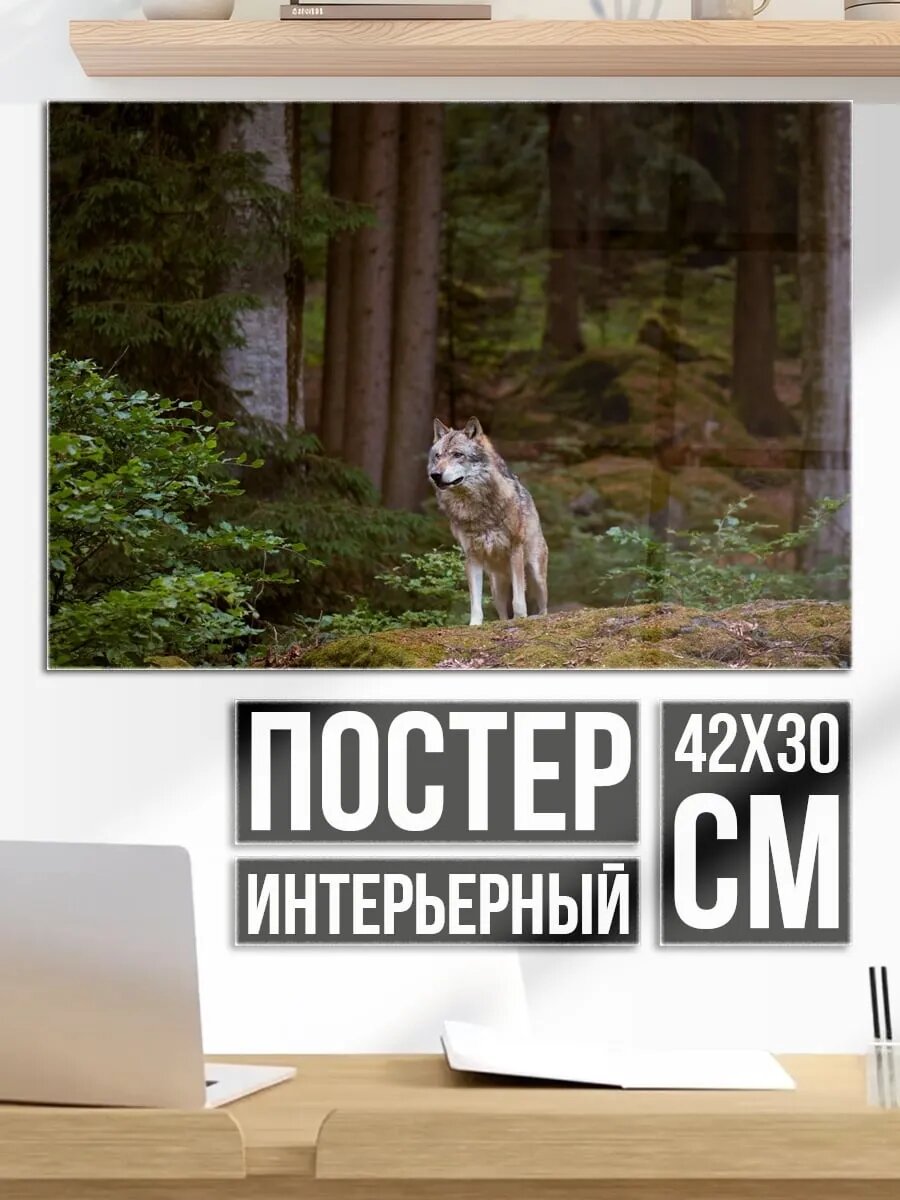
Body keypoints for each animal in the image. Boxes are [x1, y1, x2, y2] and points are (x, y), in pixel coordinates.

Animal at [428, 417, 549, 627]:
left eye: (458, 454)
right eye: (437, 456)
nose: (435, 475)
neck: (476, 509)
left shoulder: (515, 549)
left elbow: (519, 600)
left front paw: (521, 618)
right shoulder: (472, 556)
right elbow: (475, 601)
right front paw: (475, 625)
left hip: (536, 576)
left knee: (543, 607)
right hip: (496, 589)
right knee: (502, 614)